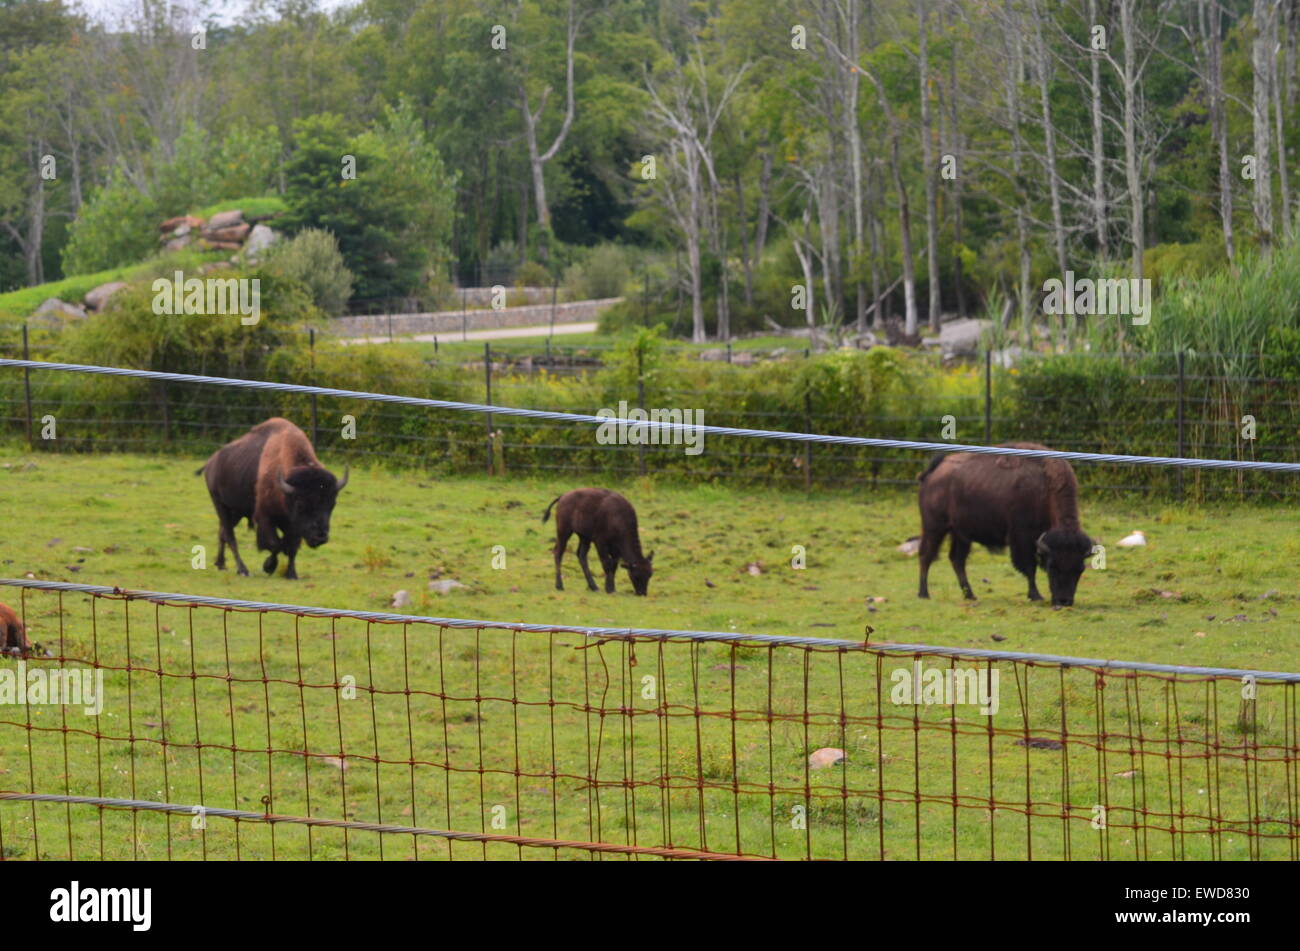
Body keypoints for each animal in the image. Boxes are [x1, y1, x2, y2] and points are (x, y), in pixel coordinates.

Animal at [197, 418, 347, 579]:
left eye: (332, 504)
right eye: (300, 504)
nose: (320, 537)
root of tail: (211, 462)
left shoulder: (294, 527)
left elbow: (291, 547)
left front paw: (292, 574)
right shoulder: (265, 518)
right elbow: (275, 544)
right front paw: (269, 566)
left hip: (236, 511)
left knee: (223, 533)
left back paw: (221, 564)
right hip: (220, 504)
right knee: (230, 536)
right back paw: (243, 570)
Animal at [916, 442, 1093, 606]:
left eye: (1080, 569)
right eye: (1052, 566)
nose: (1064, 601)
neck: (1044, 485)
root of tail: (934, 471)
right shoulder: (1022, 537)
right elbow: (1029, 567)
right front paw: (1035, 595)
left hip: (960, 534)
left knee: (957, 560)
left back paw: (970, 595)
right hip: (935, 527)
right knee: (926, 555)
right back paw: (924, 594)